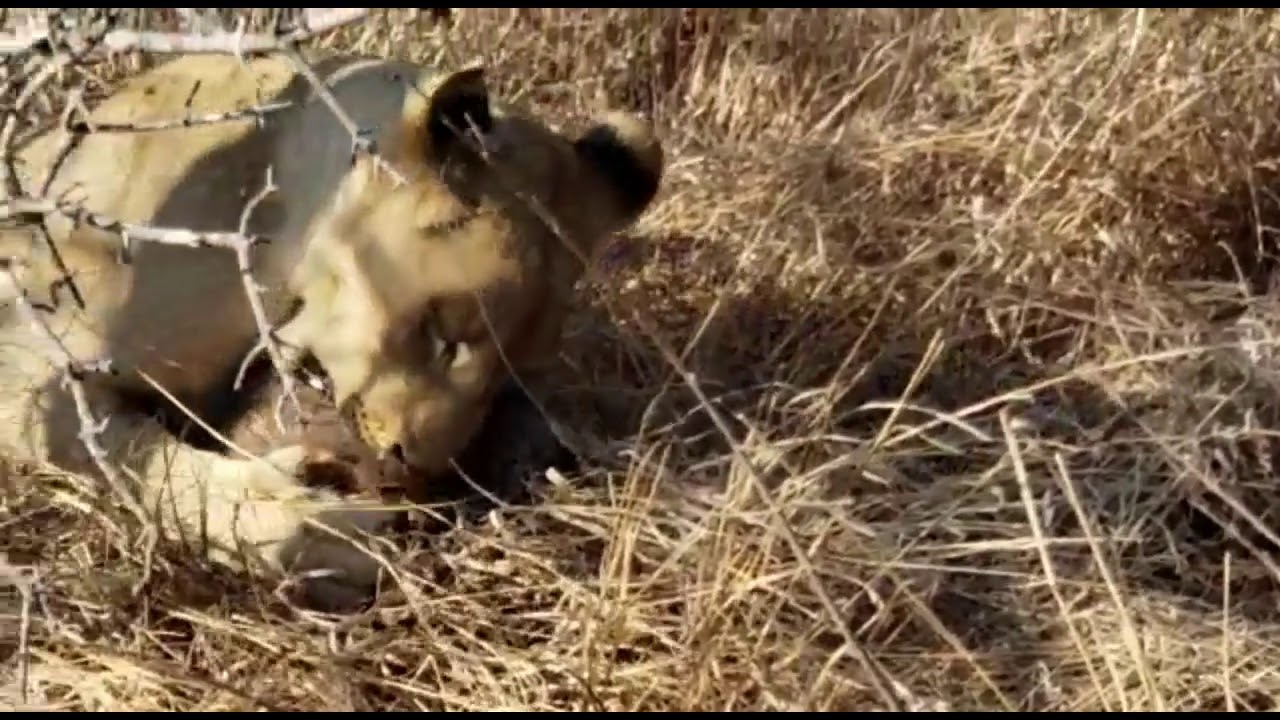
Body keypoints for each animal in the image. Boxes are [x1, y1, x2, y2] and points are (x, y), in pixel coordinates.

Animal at [0, 51, 663, 609]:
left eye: (509, 375)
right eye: (443, 332)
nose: (410, 468)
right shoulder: (29, 366)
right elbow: (138, 458)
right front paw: (324, 534)